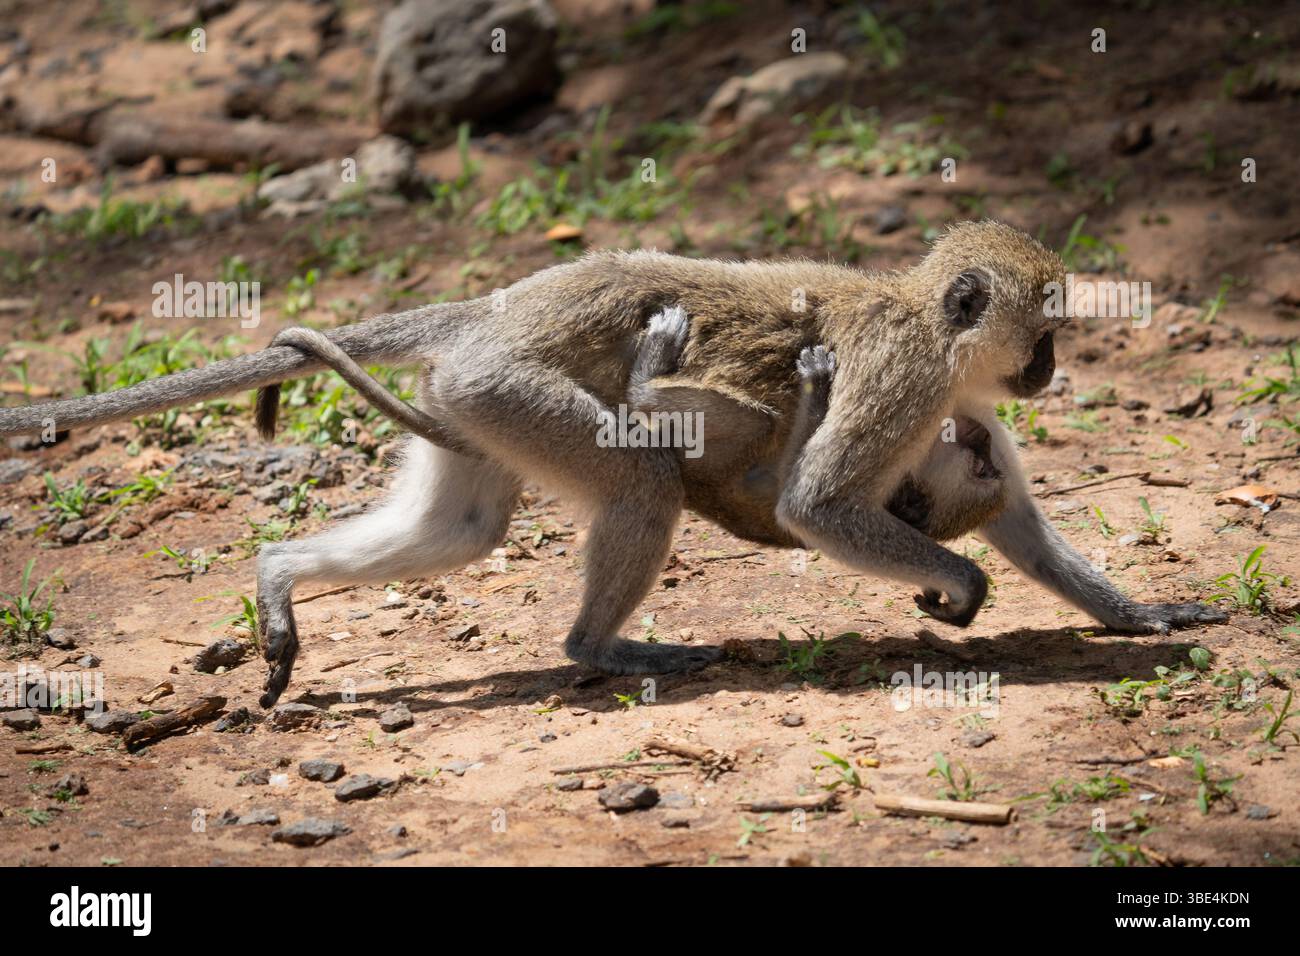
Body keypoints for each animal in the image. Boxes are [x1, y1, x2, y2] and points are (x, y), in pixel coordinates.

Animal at [0, 221, 1227, 707]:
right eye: (1044, 330)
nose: (1050, 373)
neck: (933, 333)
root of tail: (493, 311)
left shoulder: (963, 417)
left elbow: (1015, 515)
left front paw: (1140, 614)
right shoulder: (909, 380)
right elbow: (817, 502)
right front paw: (959, 585)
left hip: (471, 405)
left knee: (464, 532)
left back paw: (278, 576)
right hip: (515, 390)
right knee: (641, 478)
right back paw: (598, 639)